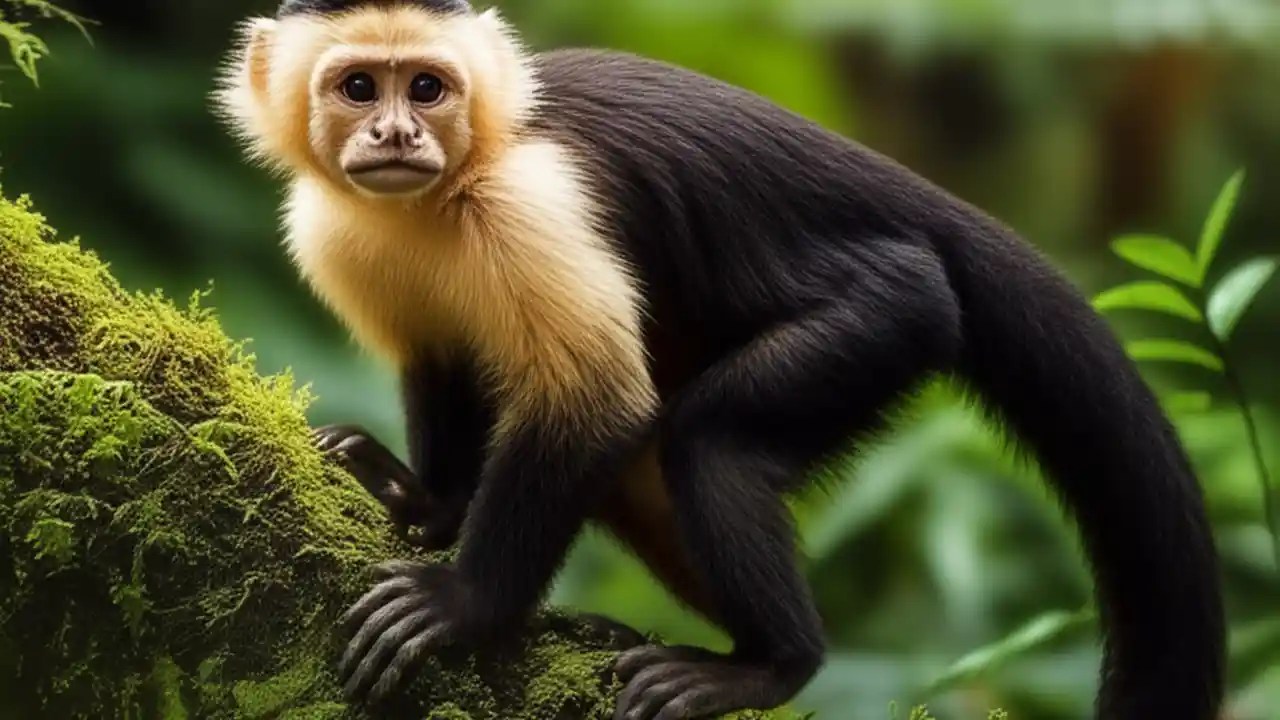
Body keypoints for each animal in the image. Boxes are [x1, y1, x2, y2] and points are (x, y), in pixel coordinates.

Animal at [214, 1, 1226, 718]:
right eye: (358, 87)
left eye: (425, 87)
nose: (395, 134)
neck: (446, 187)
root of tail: (922, 200)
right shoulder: (335, 228)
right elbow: (444, 360)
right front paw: (423, 501)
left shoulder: (529, 198)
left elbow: (599, 404)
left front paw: (464, 601)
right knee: (648, 467)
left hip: (893, 312)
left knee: (705, 440)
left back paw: (772, 667)